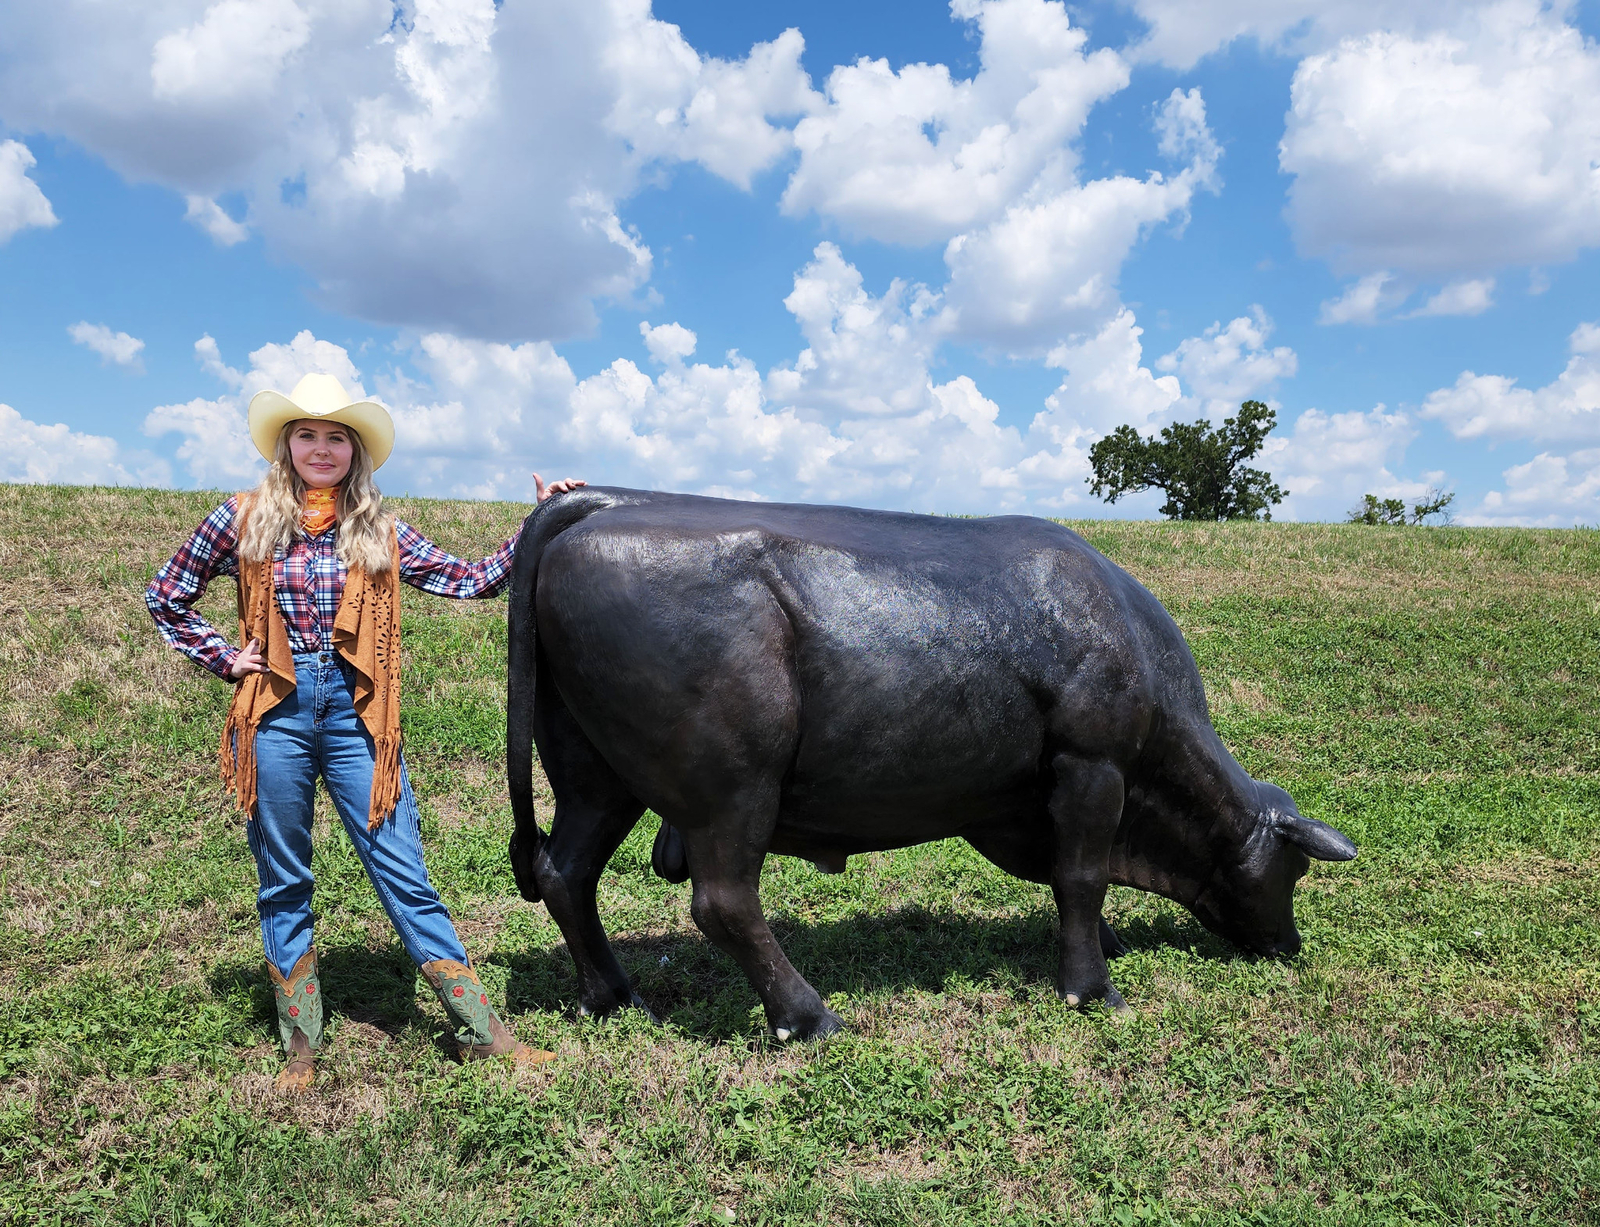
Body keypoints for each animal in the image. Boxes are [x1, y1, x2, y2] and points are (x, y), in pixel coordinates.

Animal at [505, 488, 1356, 1041]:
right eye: (1294, 869)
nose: (1288, 947)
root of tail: (599, 507)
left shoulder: (1034, 800)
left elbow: (1072, 878)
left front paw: (1103, 944)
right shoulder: (1093, 763)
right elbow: (1082, 874)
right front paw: (1092, 989)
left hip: (594, 775)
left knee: (564, 872)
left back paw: (614, 997)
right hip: (730, 787)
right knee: (723, 902)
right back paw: (808, 1017)